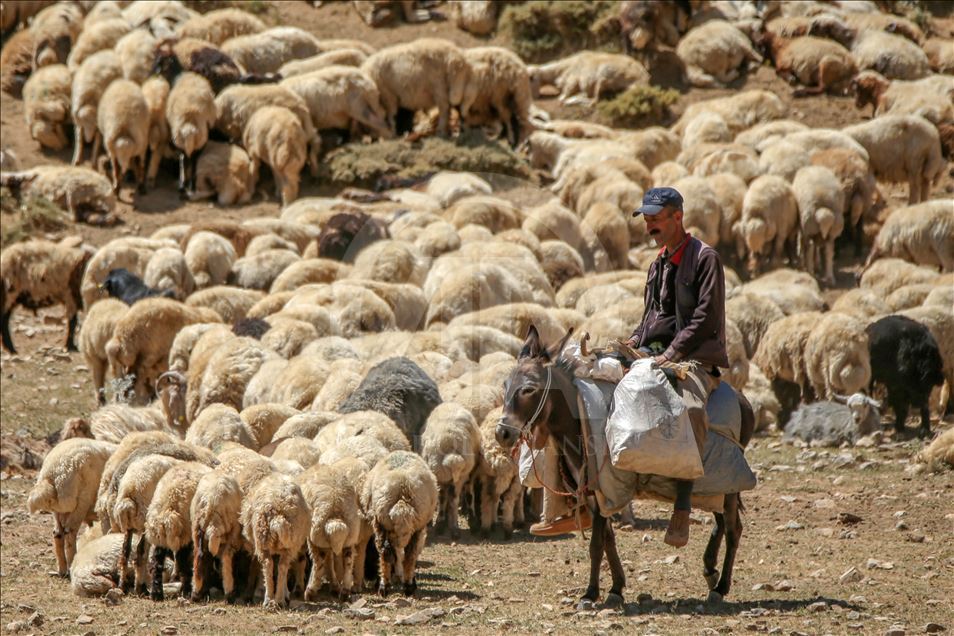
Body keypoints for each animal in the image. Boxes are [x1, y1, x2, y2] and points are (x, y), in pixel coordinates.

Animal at [27, 438, 117, 576]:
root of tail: (54, 471)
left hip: (58, 510)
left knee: (57, 533)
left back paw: (62, 569)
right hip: (81, 501)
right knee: (70, 532)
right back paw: (70, 566)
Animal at [145, 461, 213, 600]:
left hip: (160, 538)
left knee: (156, 564)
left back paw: (156, 593)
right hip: (186, 534)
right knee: (184, 563)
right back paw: (187, 590)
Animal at [239, 471, 310, 607]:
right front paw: (285, 594)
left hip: (263, 540)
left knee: (270, 565)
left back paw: (271, 599)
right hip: (287, 544)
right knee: (281, 566)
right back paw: (277, 600)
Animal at [360, 450, 438, 596]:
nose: (368, 576)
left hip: (380, 521)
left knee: (386, 552)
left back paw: (384, 586)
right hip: (412, 526)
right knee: (408, 555)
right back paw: (406, 586)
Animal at [420, 402, 480, 540]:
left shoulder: (459, 478)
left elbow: (452, 500)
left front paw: (452, 526)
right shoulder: (441, 478)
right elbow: (444, 498)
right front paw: (441, 522)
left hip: (465, 474)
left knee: (465, 493)